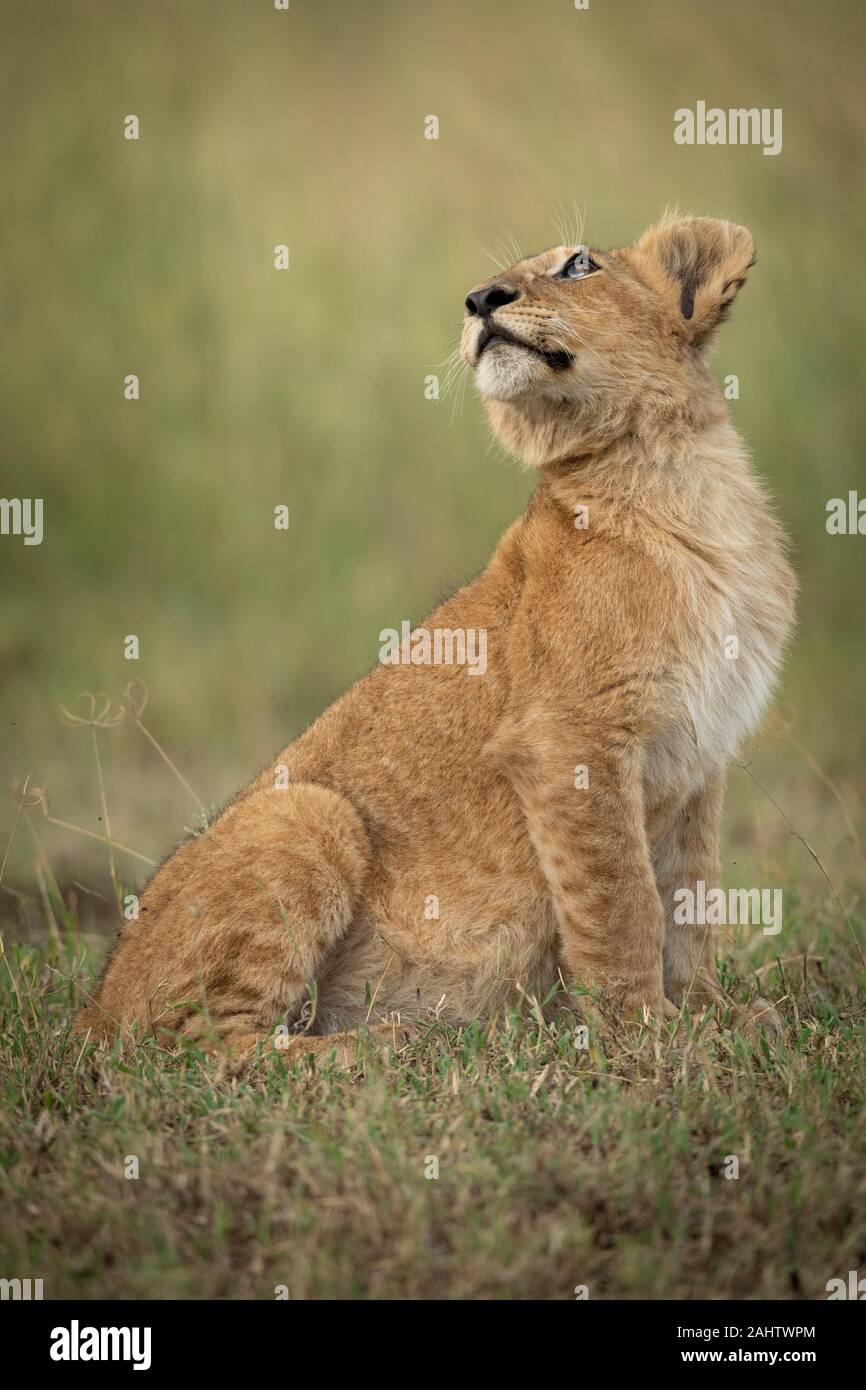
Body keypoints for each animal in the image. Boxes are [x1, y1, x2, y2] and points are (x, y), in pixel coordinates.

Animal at [73, 214, 796, 1064]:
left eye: (579, 265)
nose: (480, 299)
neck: (676, 473)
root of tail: (91, 1008)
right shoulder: (566, 737)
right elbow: (624, 906)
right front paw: (646, 1034)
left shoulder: (698, 756)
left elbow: (691, 901)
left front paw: (713, 1017)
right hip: (307, 814)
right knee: (208, 1046)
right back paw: (384, 1045)